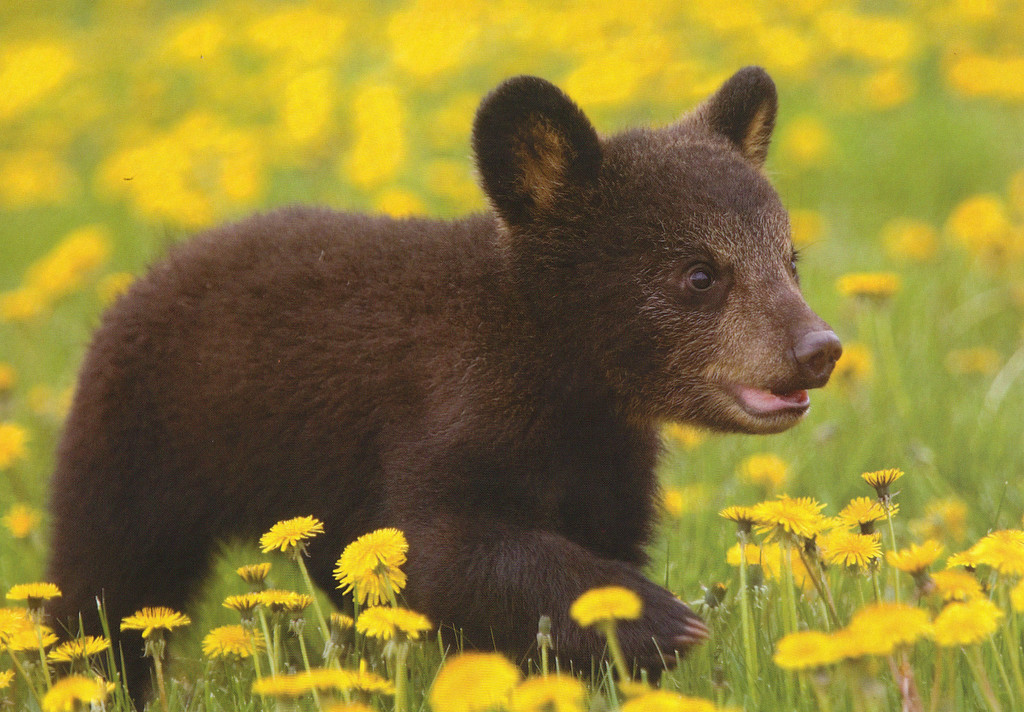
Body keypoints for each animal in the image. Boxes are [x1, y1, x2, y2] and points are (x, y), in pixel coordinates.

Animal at [46, 66, 841, 702]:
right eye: (700, 274)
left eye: (788, 261)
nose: (819, 349)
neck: (566, 383)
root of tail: (138, 282)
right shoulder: (445, 408)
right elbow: (442, 550)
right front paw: (660, 619)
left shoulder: (606, 458)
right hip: (140, 445)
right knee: (105, 579)